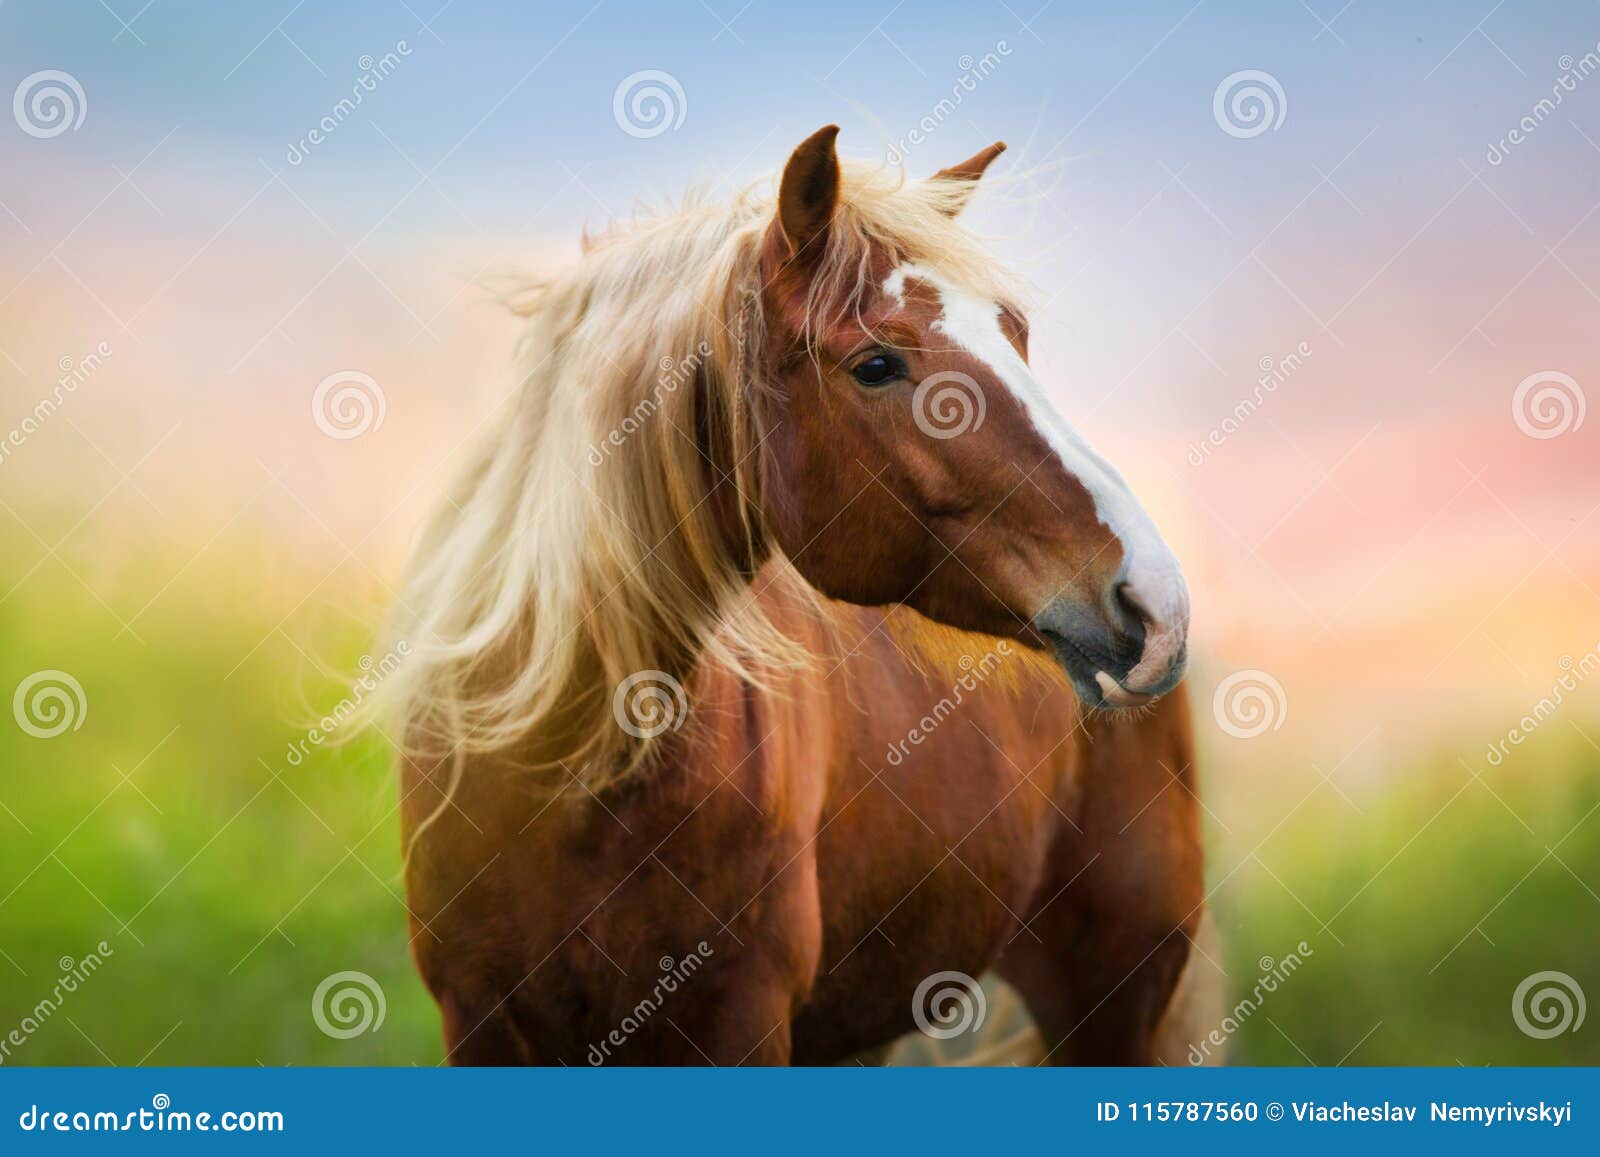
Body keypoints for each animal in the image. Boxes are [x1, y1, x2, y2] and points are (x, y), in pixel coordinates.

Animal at [383, 125, 1215, 1065]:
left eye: (1017, 336)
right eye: (876, 364)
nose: (1156, 602)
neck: (573, 778)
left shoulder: (740, 1015)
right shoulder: (478, 1018)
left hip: (1113, 1000)